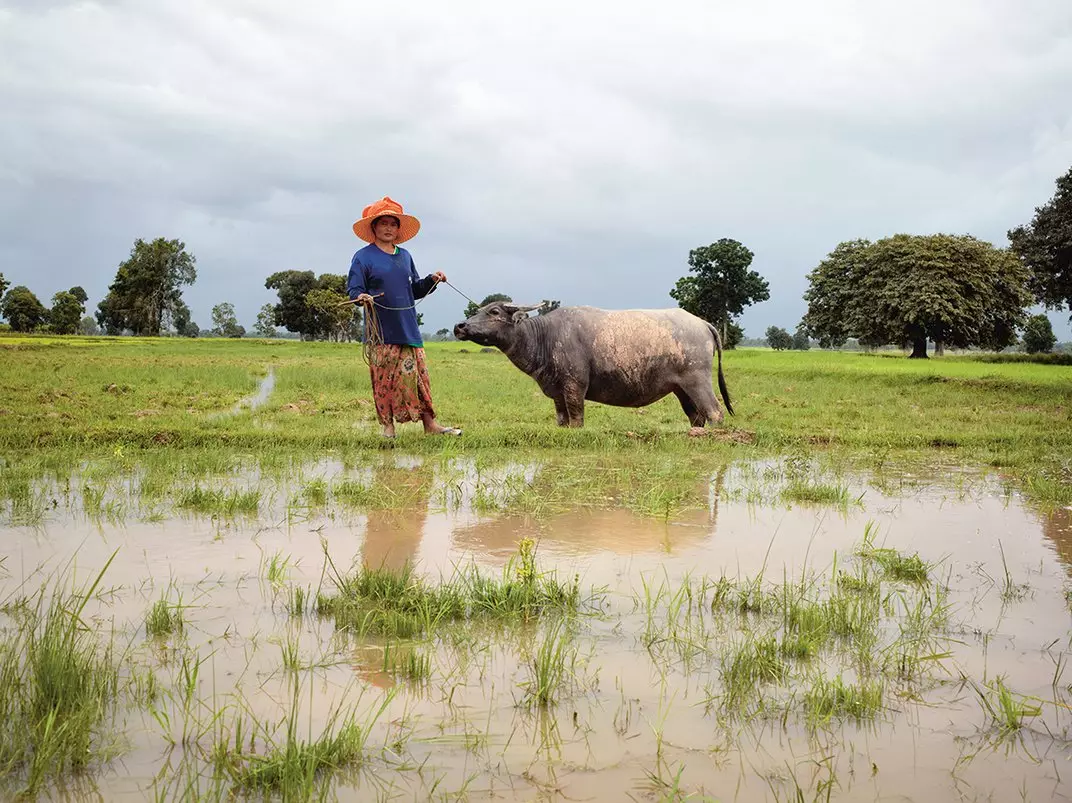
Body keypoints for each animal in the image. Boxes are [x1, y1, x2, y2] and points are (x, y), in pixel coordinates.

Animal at [448, 302, 733, 428]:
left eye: (494, 312)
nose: (460, 326)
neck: (546, 337)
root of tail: (702, 323)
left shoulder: (575, 386)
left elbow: (576, 417)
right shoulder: (557, 391)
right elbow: (562, 418)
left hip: (697, 380)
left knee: (714, 412)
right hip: (680, 388)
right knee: (696, 416)